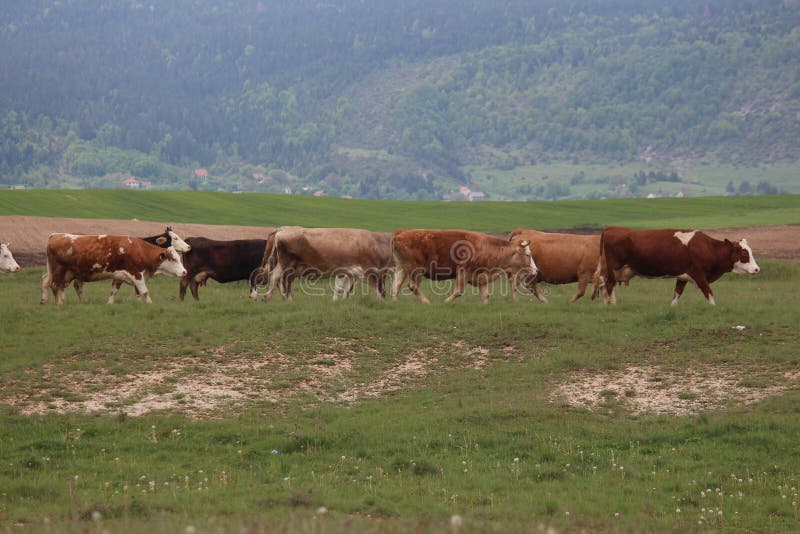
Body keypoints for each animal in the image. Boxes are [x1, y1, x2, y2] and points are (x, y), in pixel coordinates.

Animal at [41, 233, 187, 305]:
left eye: (179, 258)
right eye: (174, 259)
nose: (185, 272)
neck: (140, 250)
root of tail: (56, 236)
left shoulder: (119, 276)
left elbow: (113, 292)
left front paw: (109, 304)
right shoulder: (136, 274)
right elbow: (144, 292)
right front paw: (150, 304)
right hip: (58, 271)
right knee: (55, 286)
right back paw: (59, 303)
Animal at [255, 227, 392, 302]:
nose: (385, 297)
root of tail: (282, 228)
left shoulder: (348, 271)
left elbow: (344, 289)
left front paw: (340, 301)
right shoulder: (369, 270)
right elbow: (376, 288)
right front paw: (381, 301)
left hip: (286, 264)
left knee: (280, 279)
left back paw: (282, 299)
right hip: (286, 262)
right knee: (278, 278)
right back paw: (277, 298)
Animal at [390, 229, 538, 304]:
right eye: (528, 255)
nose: (536, 270)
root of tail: (400, 233)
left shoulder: (481, 276)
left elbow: (485, 295)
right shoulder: (463, 271)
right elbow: (458, 291)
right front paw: (446, 302)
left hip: (402, 268)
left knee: (395, 286)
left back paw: (394, 303)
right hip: (416, 270)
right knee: (412, 286)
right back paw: (426, 302)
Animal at [598, 226, 760, 305]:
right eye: (744, 254)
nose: (757, 269)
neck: (707, 247)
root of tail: (611, 228)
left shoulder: (683, 276)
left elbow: (677, 293)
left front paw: (672, 308)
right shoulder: (699, 275)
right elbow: (709, 293)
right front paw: (714, 307)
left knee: (606, 286)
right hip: (613, 269)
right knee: (609, 286)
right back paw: (612, 305)